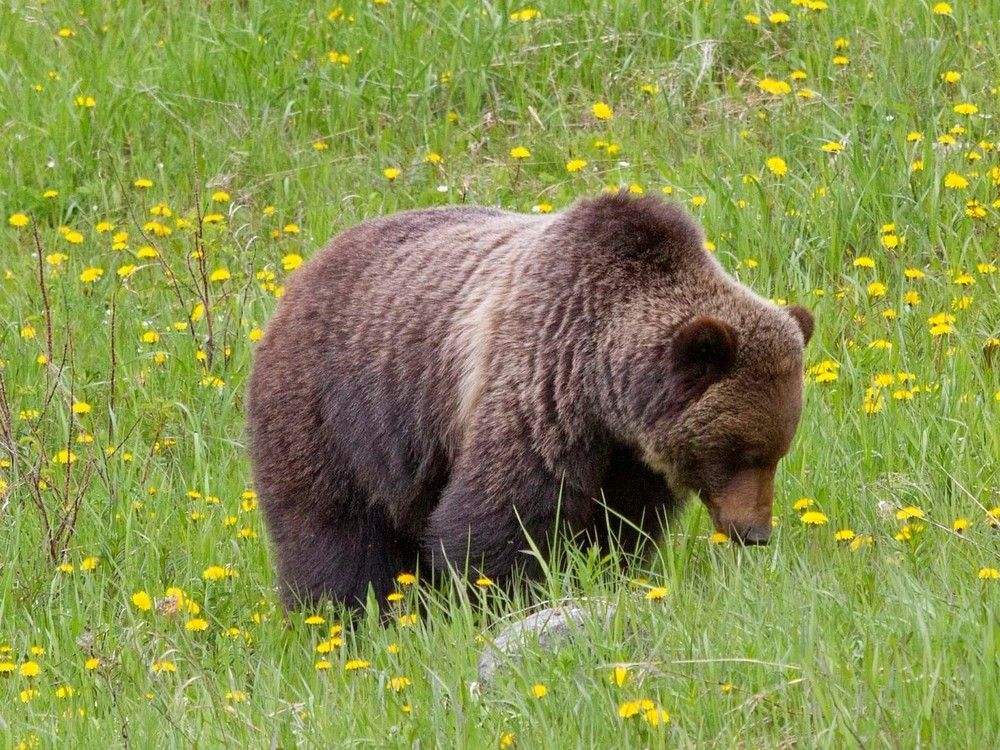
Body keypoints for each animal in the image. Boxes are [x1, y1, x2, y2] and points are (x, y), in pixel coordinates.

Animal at [245, 192, 813, 609]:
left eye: (778, 452)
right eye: (739, 452)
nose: (754, 532)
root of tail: (300, 276)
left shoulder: (626, 454)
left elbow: (622, 523)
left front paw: (607, 571)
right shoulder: (537, 384)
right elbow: (502, 513)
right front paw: (502, 596)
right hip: (336, 410)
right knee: (334, 530)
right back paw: (346, 614)